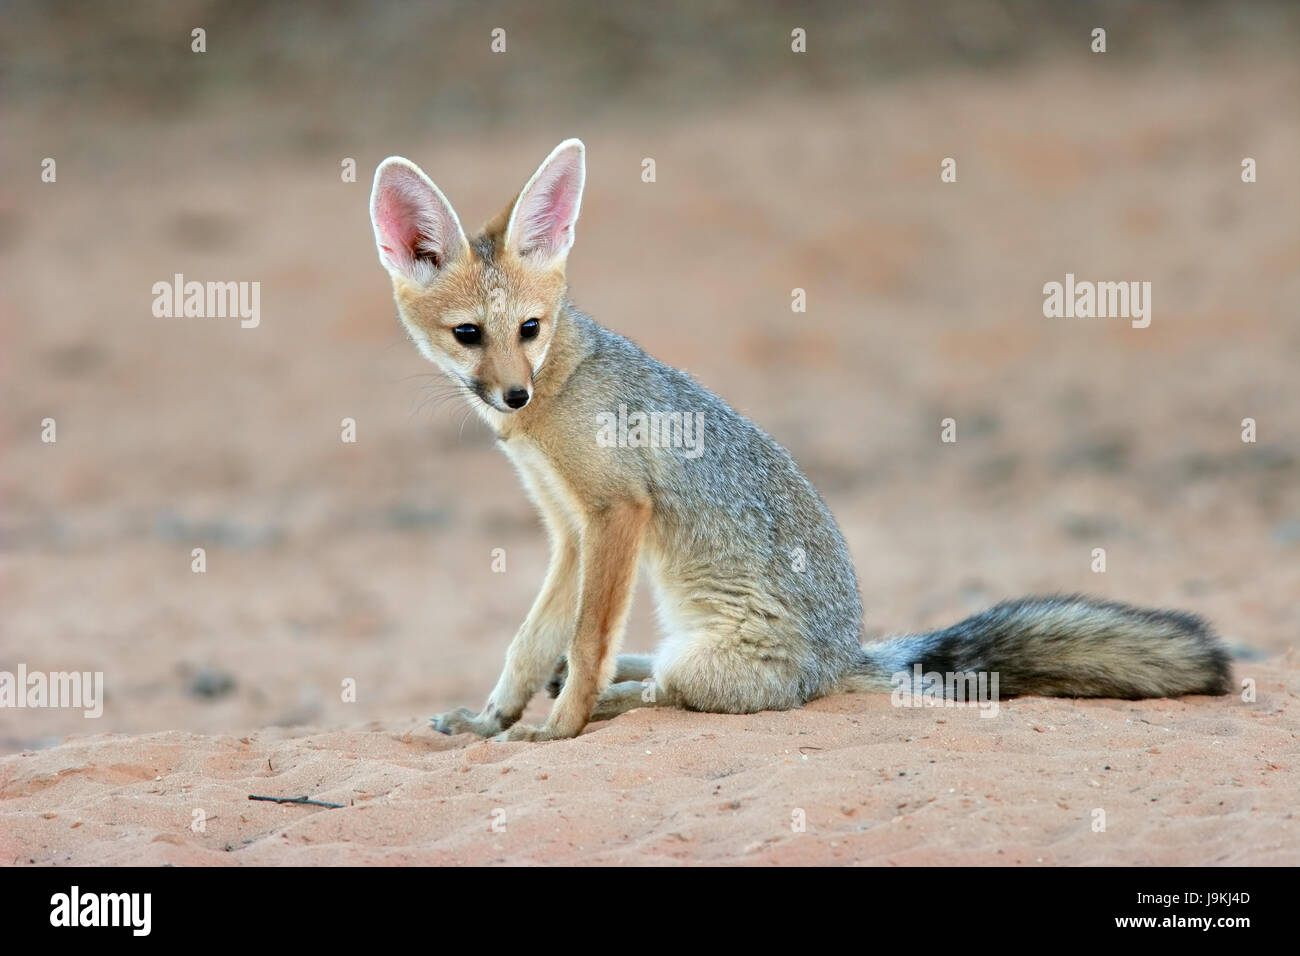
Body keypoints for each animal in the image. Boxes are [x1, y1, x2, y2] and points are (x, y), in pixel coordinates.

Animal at [368, 138, 1232, 742]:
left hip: (702, 662)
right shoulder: (570, 531)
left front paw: (559, 728)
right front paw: (493, 719)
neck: (557, 391)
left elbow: (583, 644)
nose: (512, 393)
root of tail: (842, 658)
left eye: (530, 328)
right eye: (469, 334)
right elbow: (531, 642)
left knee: (658, 693)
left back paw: (614, 698)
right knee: (643, 667)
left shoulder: (615, 513)